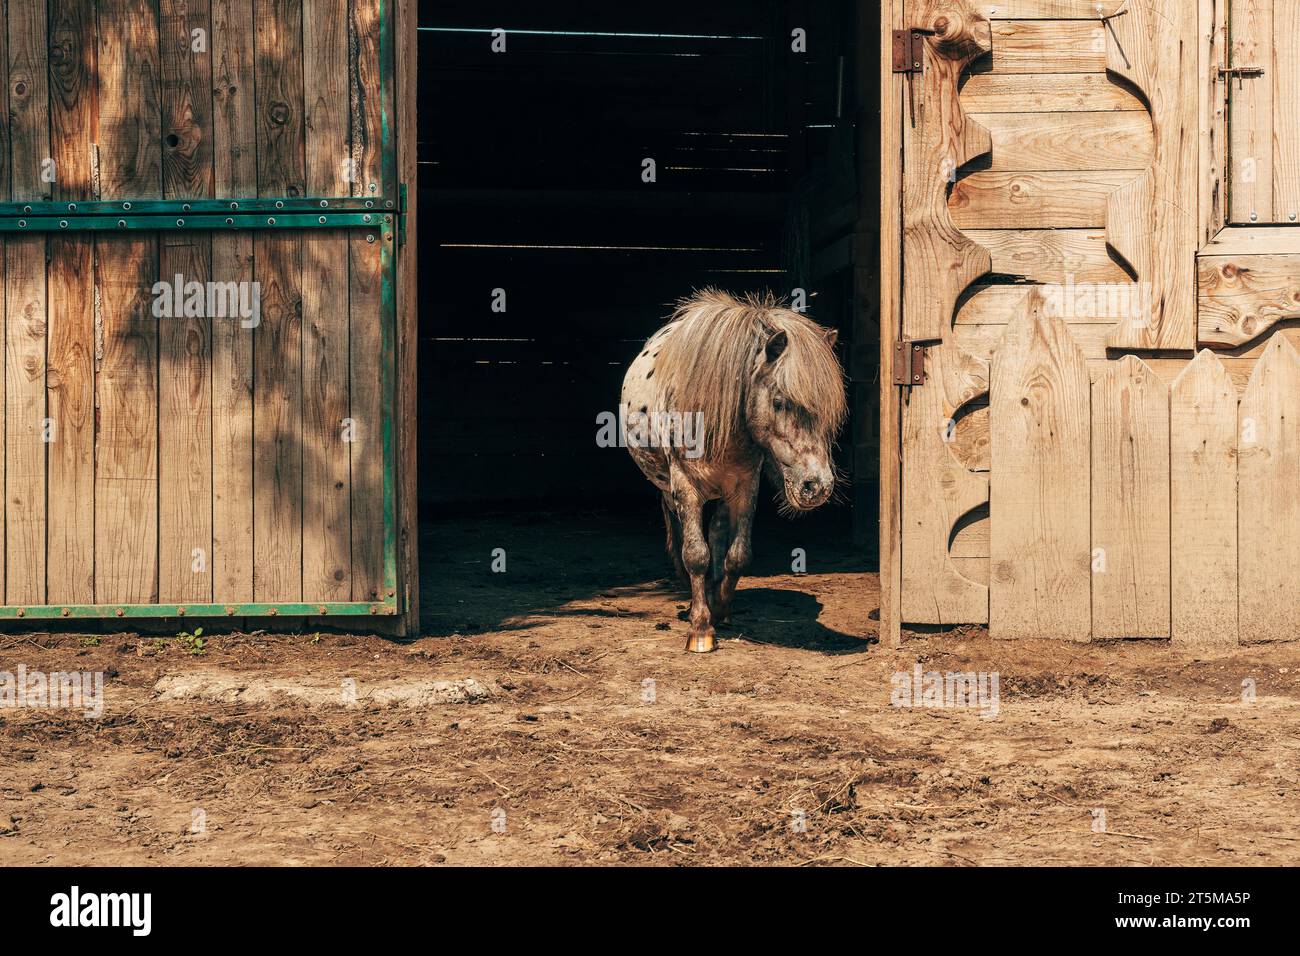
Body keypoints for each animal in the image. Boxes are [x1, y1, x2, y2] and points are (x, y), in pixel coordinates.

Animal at [620, 289, 847, 652]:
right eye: (780, 402)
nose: (817, 486)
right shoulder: (684, 485)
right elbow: (695, 553)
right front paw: (700, 629)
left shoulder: (744, 485)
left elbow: (738, 554)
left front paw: (721, 610)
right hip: (671, 489)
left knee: (717, 533)